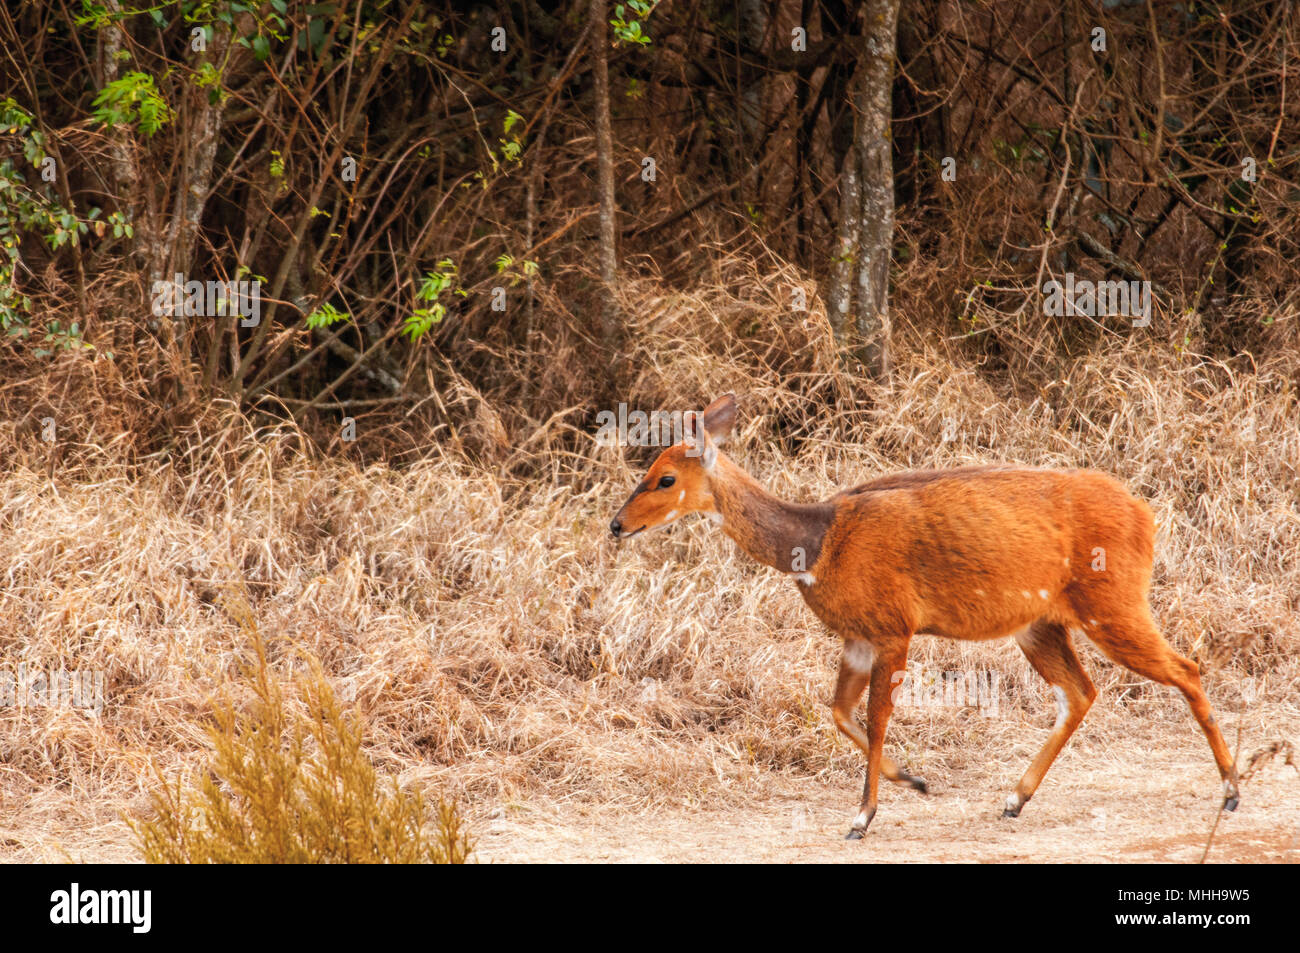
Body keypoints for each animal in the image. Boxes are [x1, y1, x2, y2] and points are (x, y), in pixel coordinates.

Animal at [609, 394, 1241, 839]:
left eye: (665, 477)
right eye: (647, 468)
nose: (617, 525)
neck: (818, 540)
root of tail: (1145, 515)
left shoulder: (894, 629)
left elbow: (876, 716)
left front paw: (861, 819)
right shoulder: (858, 638)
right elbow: (839, 712)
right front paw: (915, 781)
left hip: (1112, 606)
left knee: (1185, 668)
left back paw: (1232, 791)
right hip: (1039, 625)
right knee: (1082, 691)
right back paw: (1013, 800)